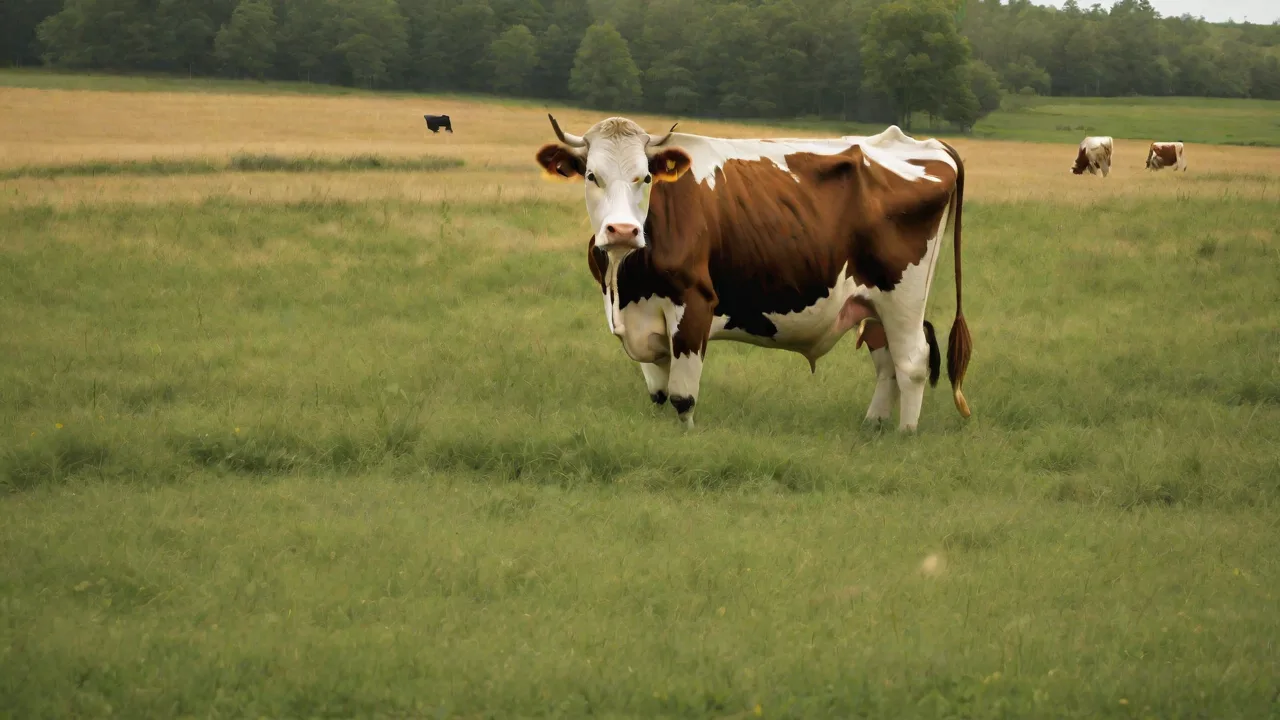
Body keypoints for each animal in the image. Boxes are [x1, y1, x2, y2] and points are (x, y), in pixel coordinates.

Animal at [535, 115, 972, 432]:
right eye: (592, 175)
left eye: (645, 177)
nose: (622, 230)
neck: (625, 280)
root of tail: (928, 145)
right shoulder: (639, 316)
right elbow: (658, 393)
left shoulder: (694, 303)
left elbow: (681, 397)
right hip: (871, 301)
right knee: (887, 364)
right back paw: (873, 427)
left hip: (903, 296)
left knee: (912, 361)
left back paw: (905, 434)